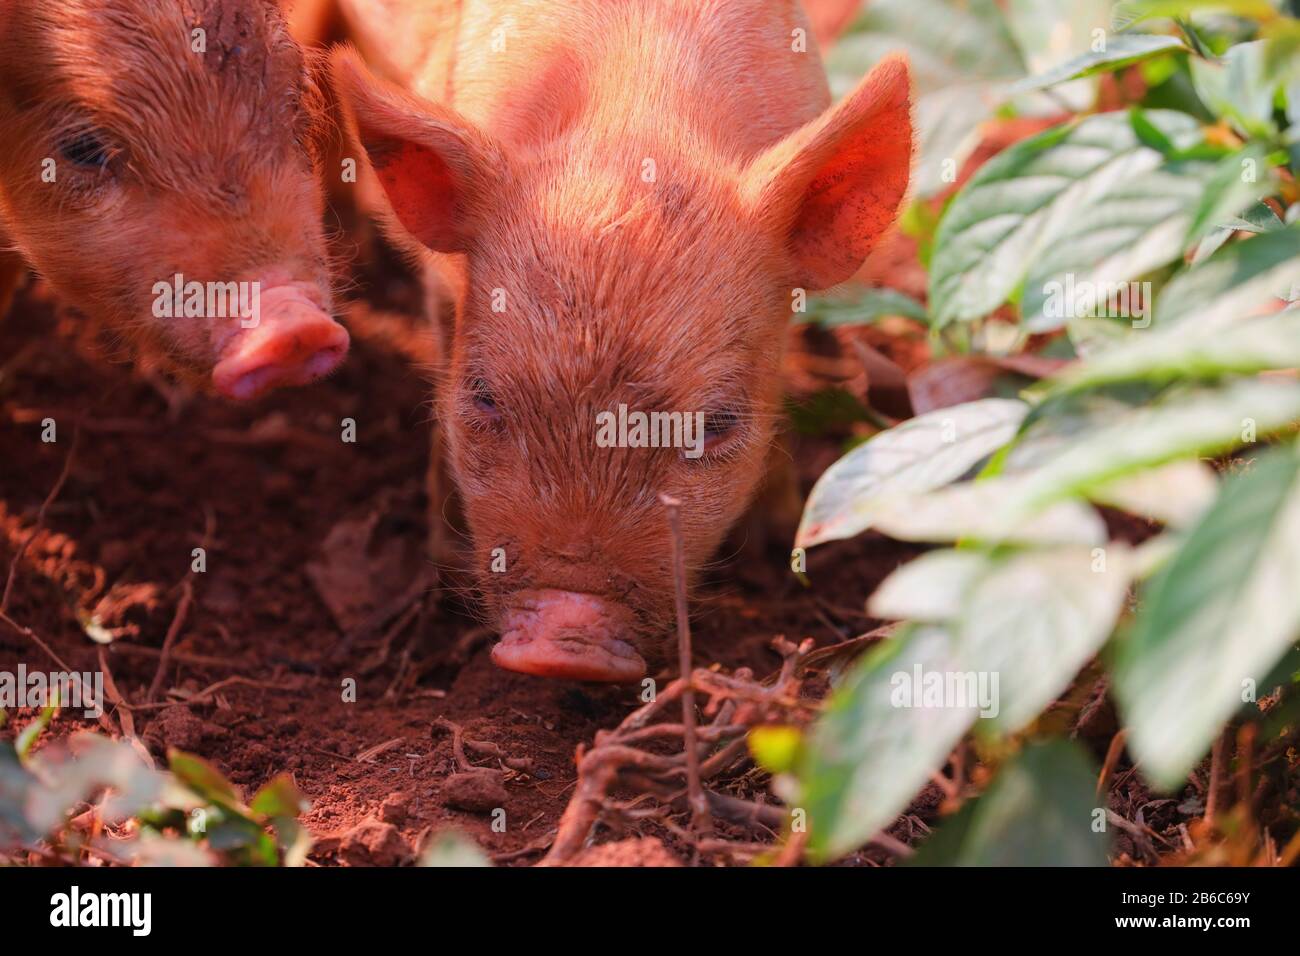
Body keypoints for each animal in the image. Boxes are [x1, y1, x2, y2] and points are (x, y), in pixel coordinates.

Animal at [332, 0, 912, 682]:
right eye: (483, 397)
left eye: (717, 425)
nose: (564, 640)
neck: (636, 122)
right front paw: (443, 558)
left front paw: (779, 538)